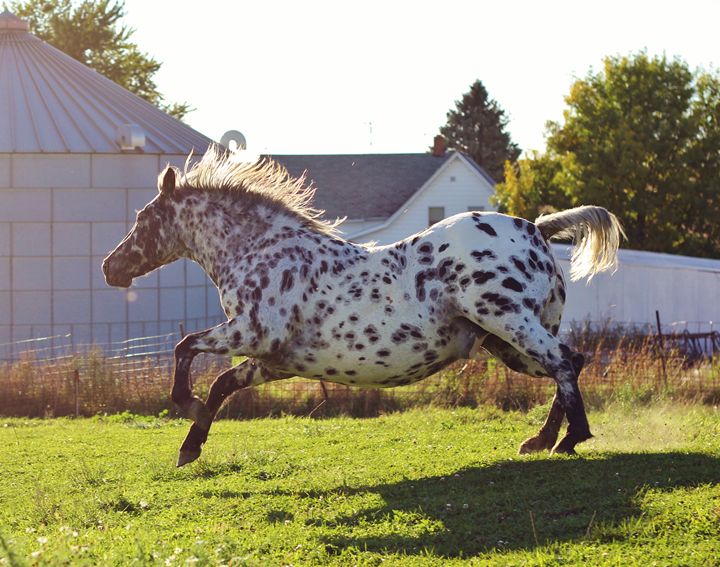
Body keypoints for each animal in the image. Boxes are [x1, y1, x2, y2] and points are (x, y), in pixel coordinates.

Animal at [102, 145, 624, 467]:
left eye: (144, 217)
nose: (110, 268)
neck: (261, 250)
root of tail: (535, 228)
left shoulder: (252, 331)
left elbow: (186, 348)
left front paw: (183, 407)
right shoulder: (273, 360)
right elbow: (223, 384)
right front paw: (191, 445)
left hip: (508, 321)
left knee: (563, 362)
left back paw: (569, 438)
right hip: (506, 343)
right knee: (570, 362)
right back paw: (545, 441)